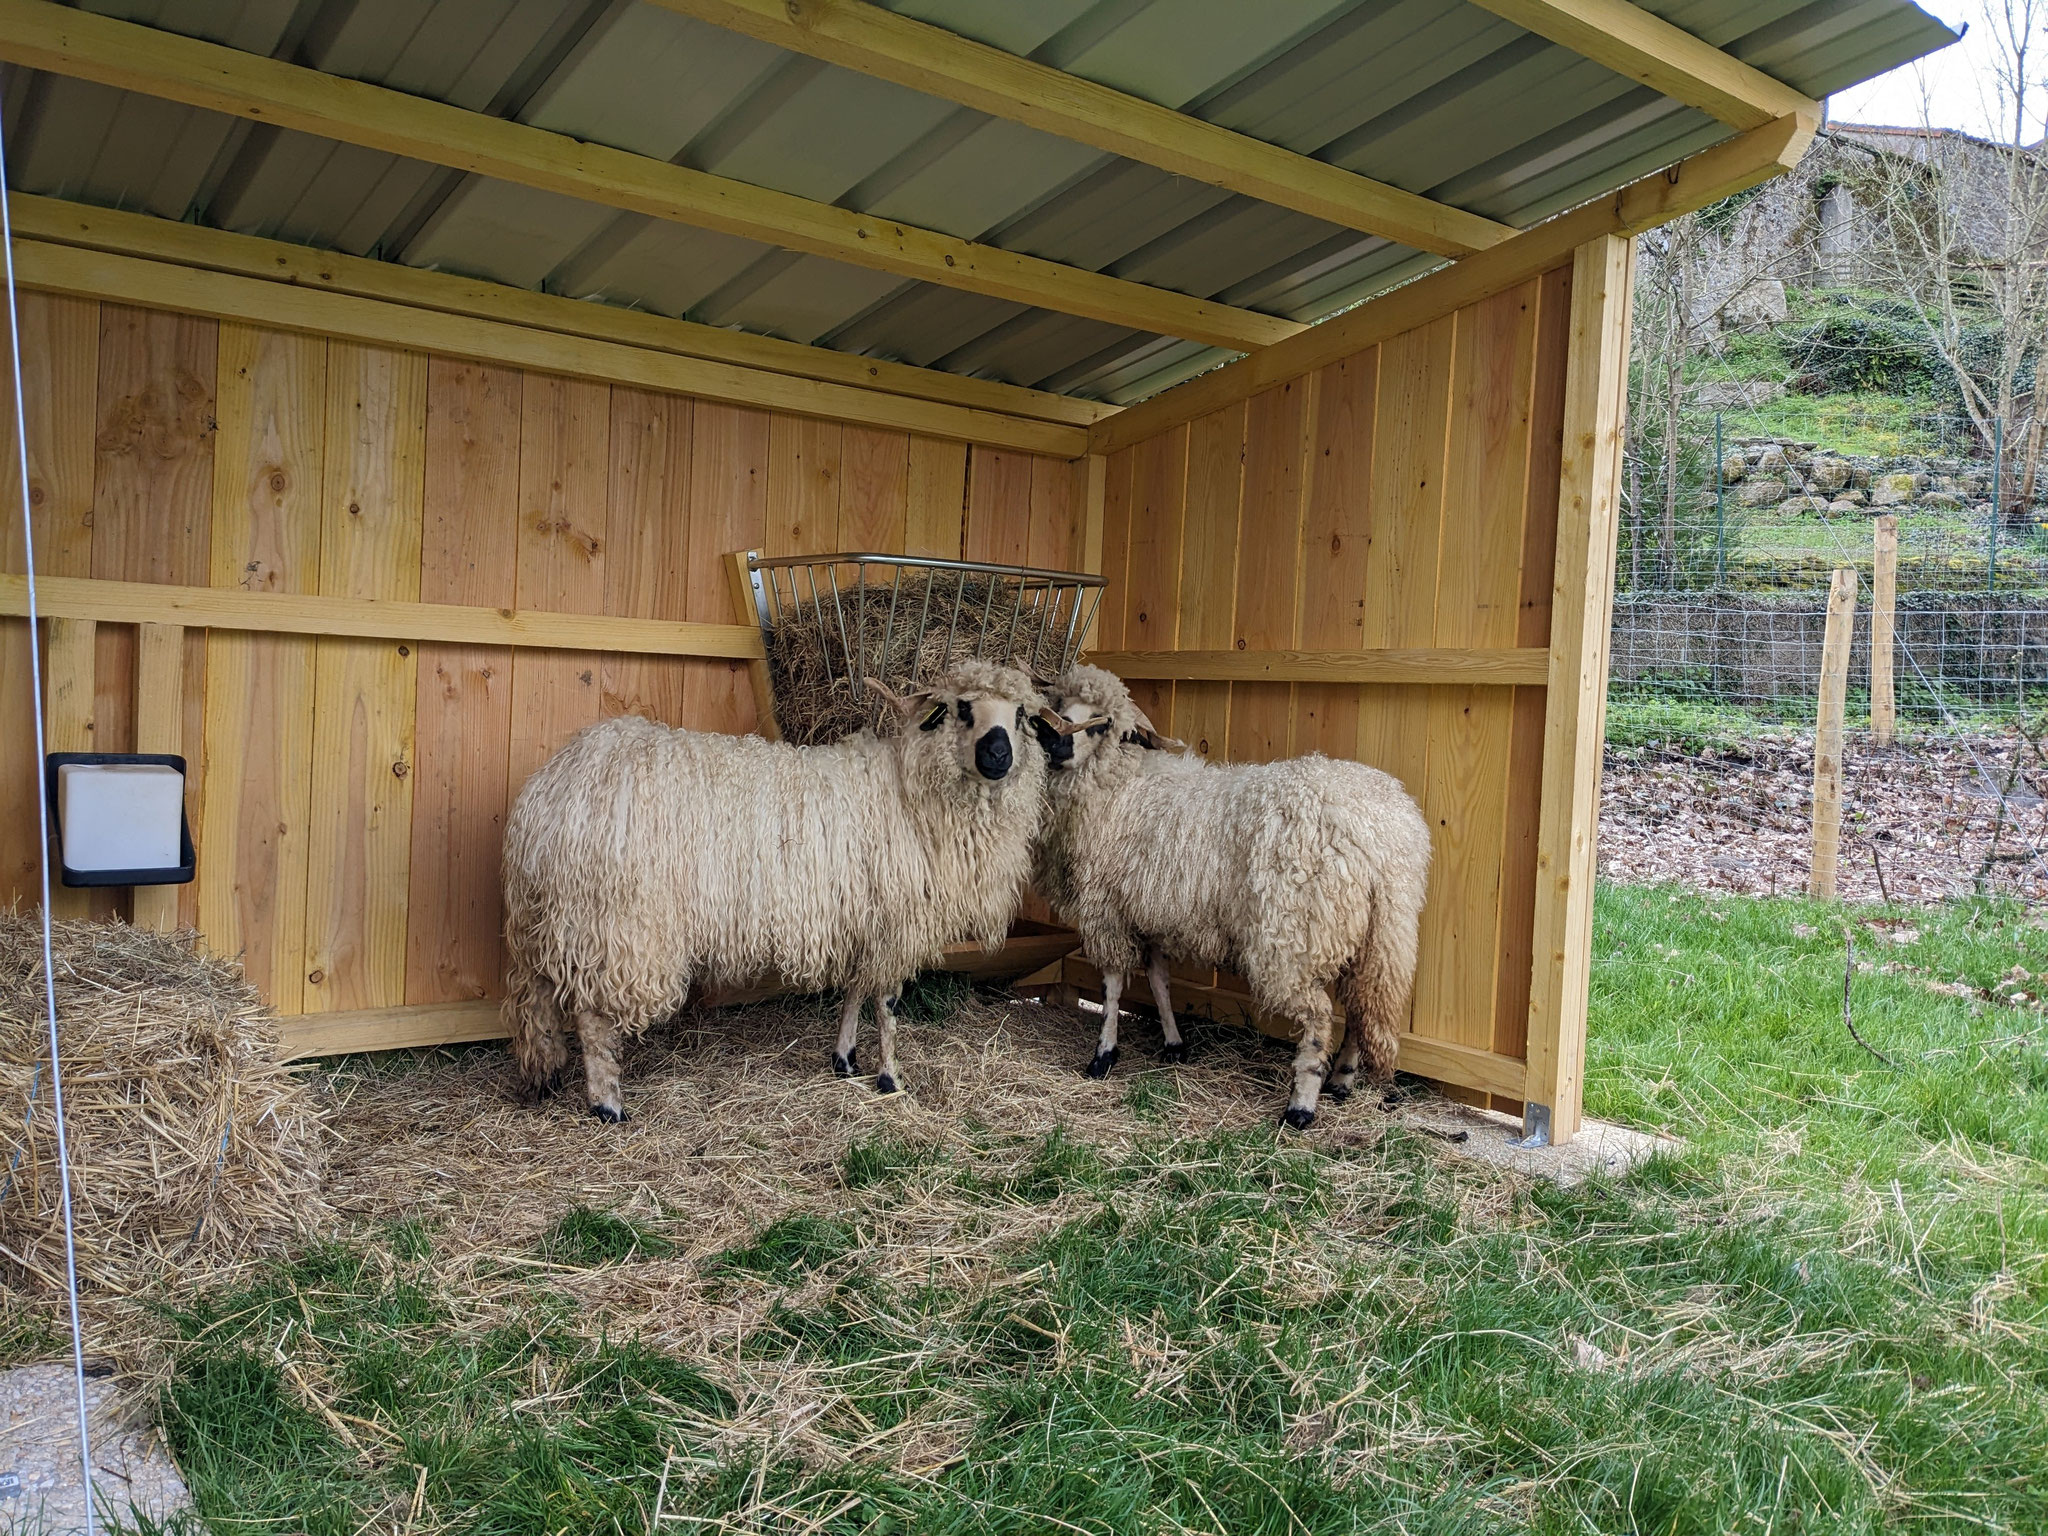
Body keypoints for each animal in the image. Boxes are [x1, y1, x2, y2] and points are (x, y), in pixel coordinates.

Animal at [502, 658, 1048, 1120]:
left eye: (1021, 715)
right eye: (962, 708)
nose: (999, 755)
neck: (910, 792)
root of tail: (550, 791)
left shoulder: (863, 919)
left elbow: (855, 990)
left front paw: (844, 1059)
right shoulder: (896, 923)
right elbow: (887, 1004)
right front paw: (890, 1078)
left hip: (558, 919)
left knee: (545, 1001)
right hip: (618, 924)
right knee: (591, 1016)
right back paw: (607, 1104)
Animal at [1031, 664, 1430, 1130]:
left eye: (1103, 723)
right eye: (1061, 705)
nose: (1054, 738)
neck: (1122, 783)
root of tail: (1382, 838)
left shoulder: (1106, 911)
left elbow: (1112, 988)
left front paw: (1104, 1055)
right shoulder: (1152, 911)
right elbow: (1159, 980)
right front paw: (1174, 1044)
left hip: (1292, 936)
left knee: (1318, 1016)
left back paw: (1302, 1105)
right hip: (1375, 935)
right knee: (1359, 1007)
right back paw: (1342, 1081)